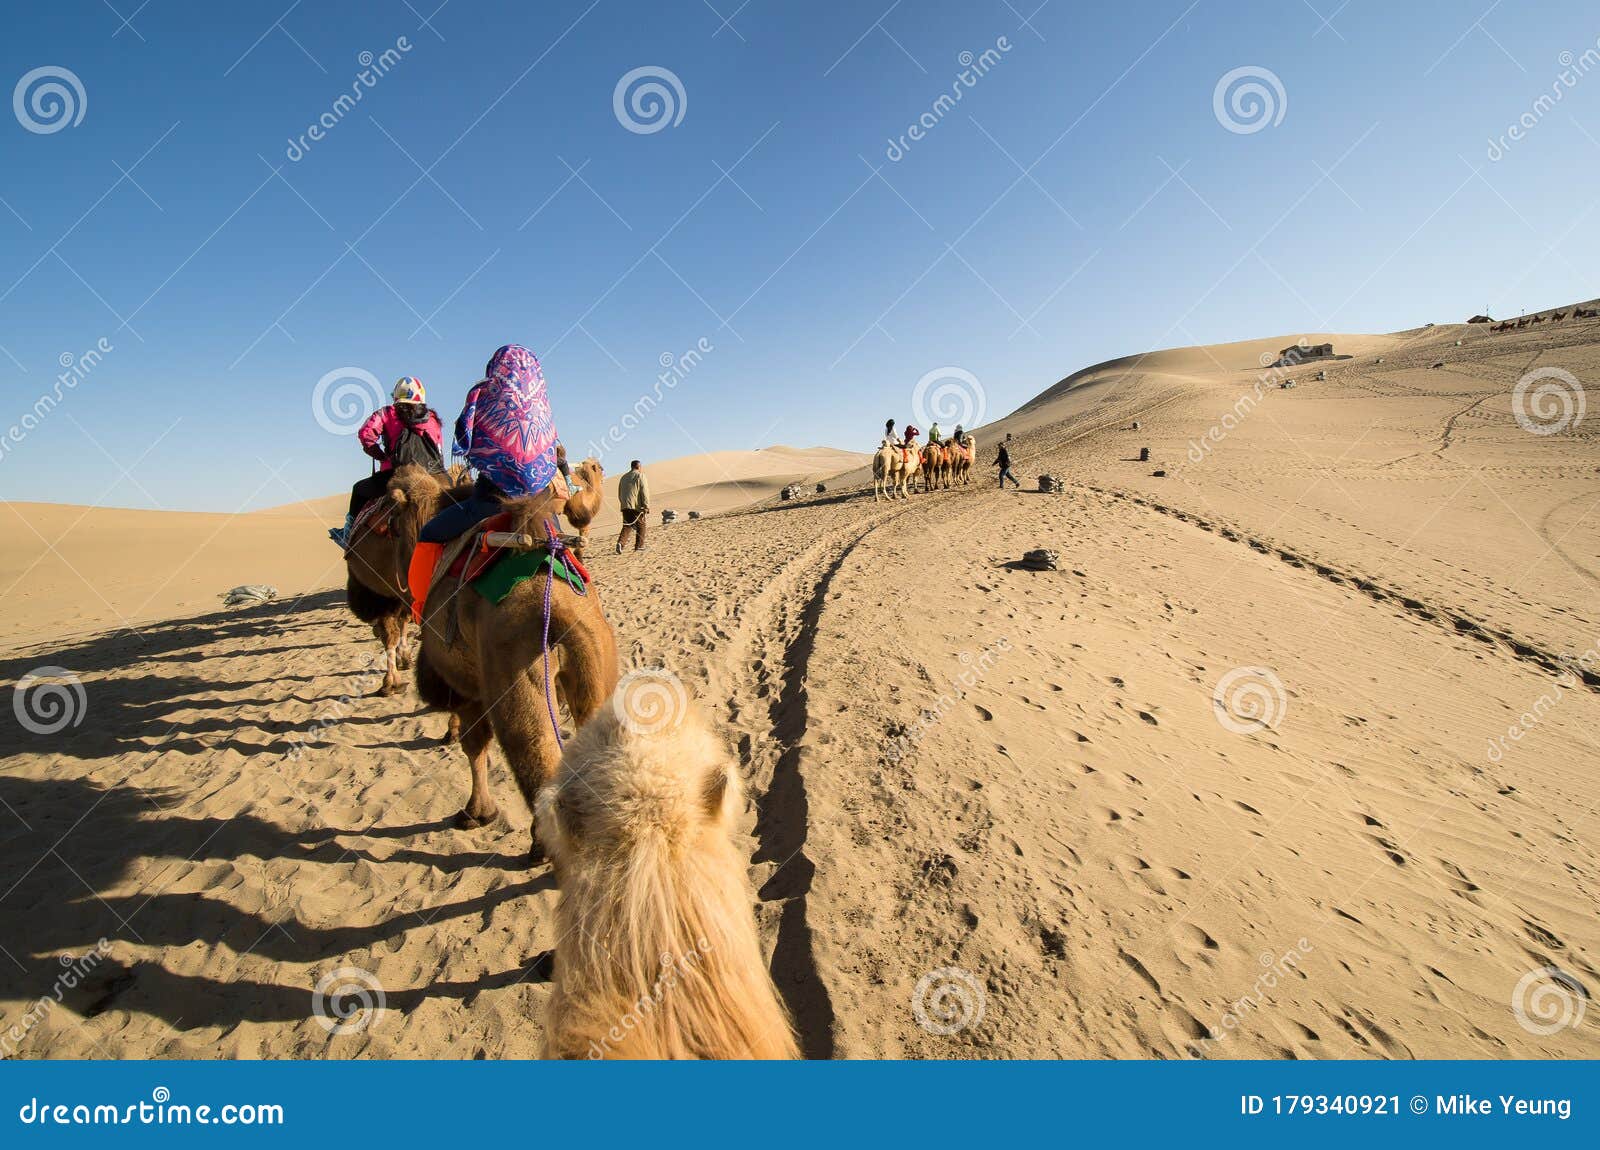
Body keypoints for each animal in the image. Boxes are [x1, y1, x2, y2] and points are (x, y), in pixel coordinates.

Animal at [414, 491, 619, 858]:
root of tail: (555, 605)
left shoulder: (467, 691)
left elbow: (474, 744)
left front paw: (477, 813)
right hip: (596, 658)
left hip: (514, 674)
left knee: (534, 755)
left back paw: (542, 847)